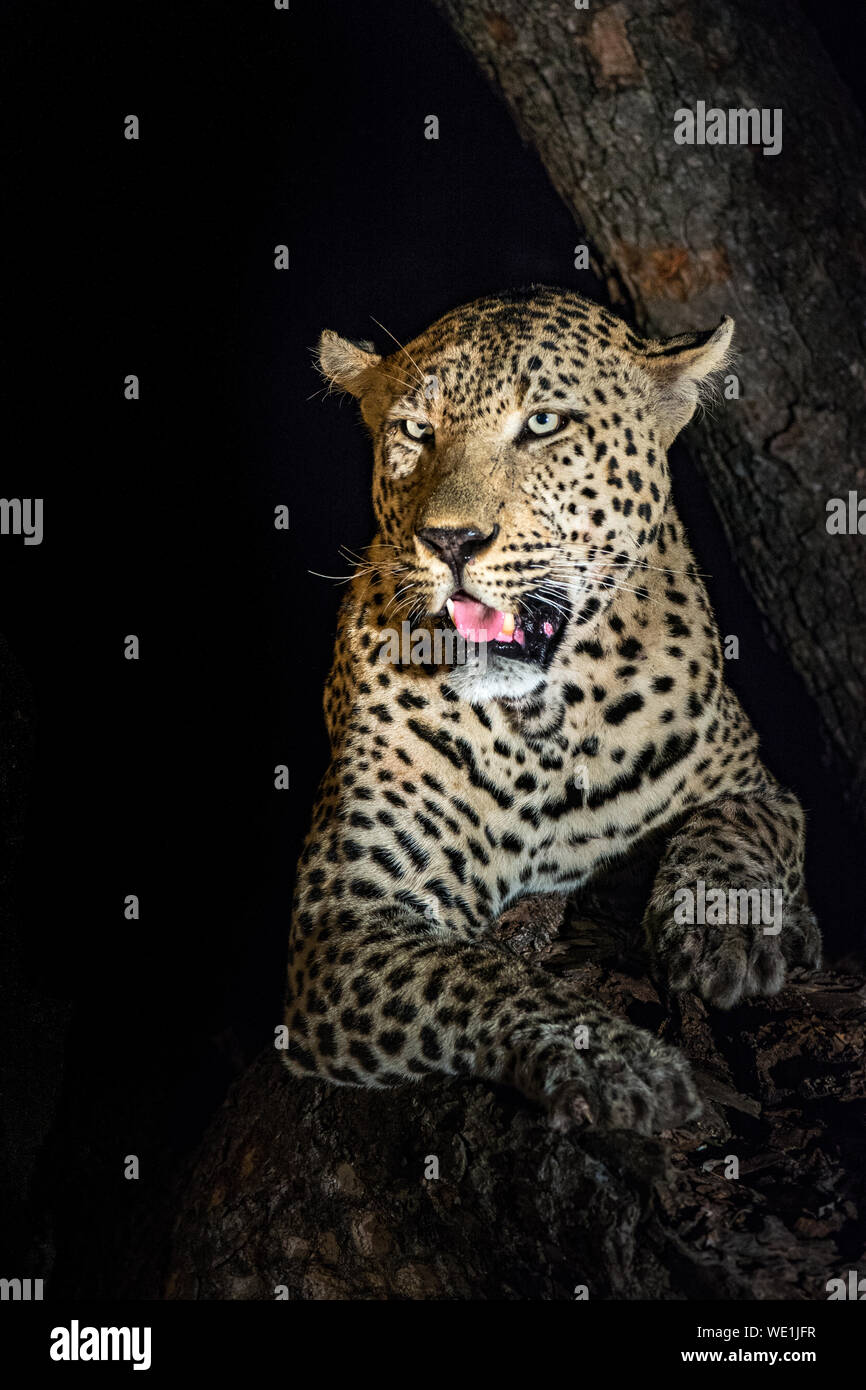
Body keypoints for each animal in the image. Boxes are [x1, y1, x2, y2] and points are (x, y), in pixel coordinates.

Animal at [282, 286, 821, 1135]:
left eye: (542, 424)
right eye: (415, 430)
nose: (451, 541)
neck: (536, 721)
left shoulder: (754, 781)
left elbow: (734, 826)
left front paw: (719, 930)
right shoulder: (348, 921)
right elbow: (470, 977)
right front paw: (616, 1059)